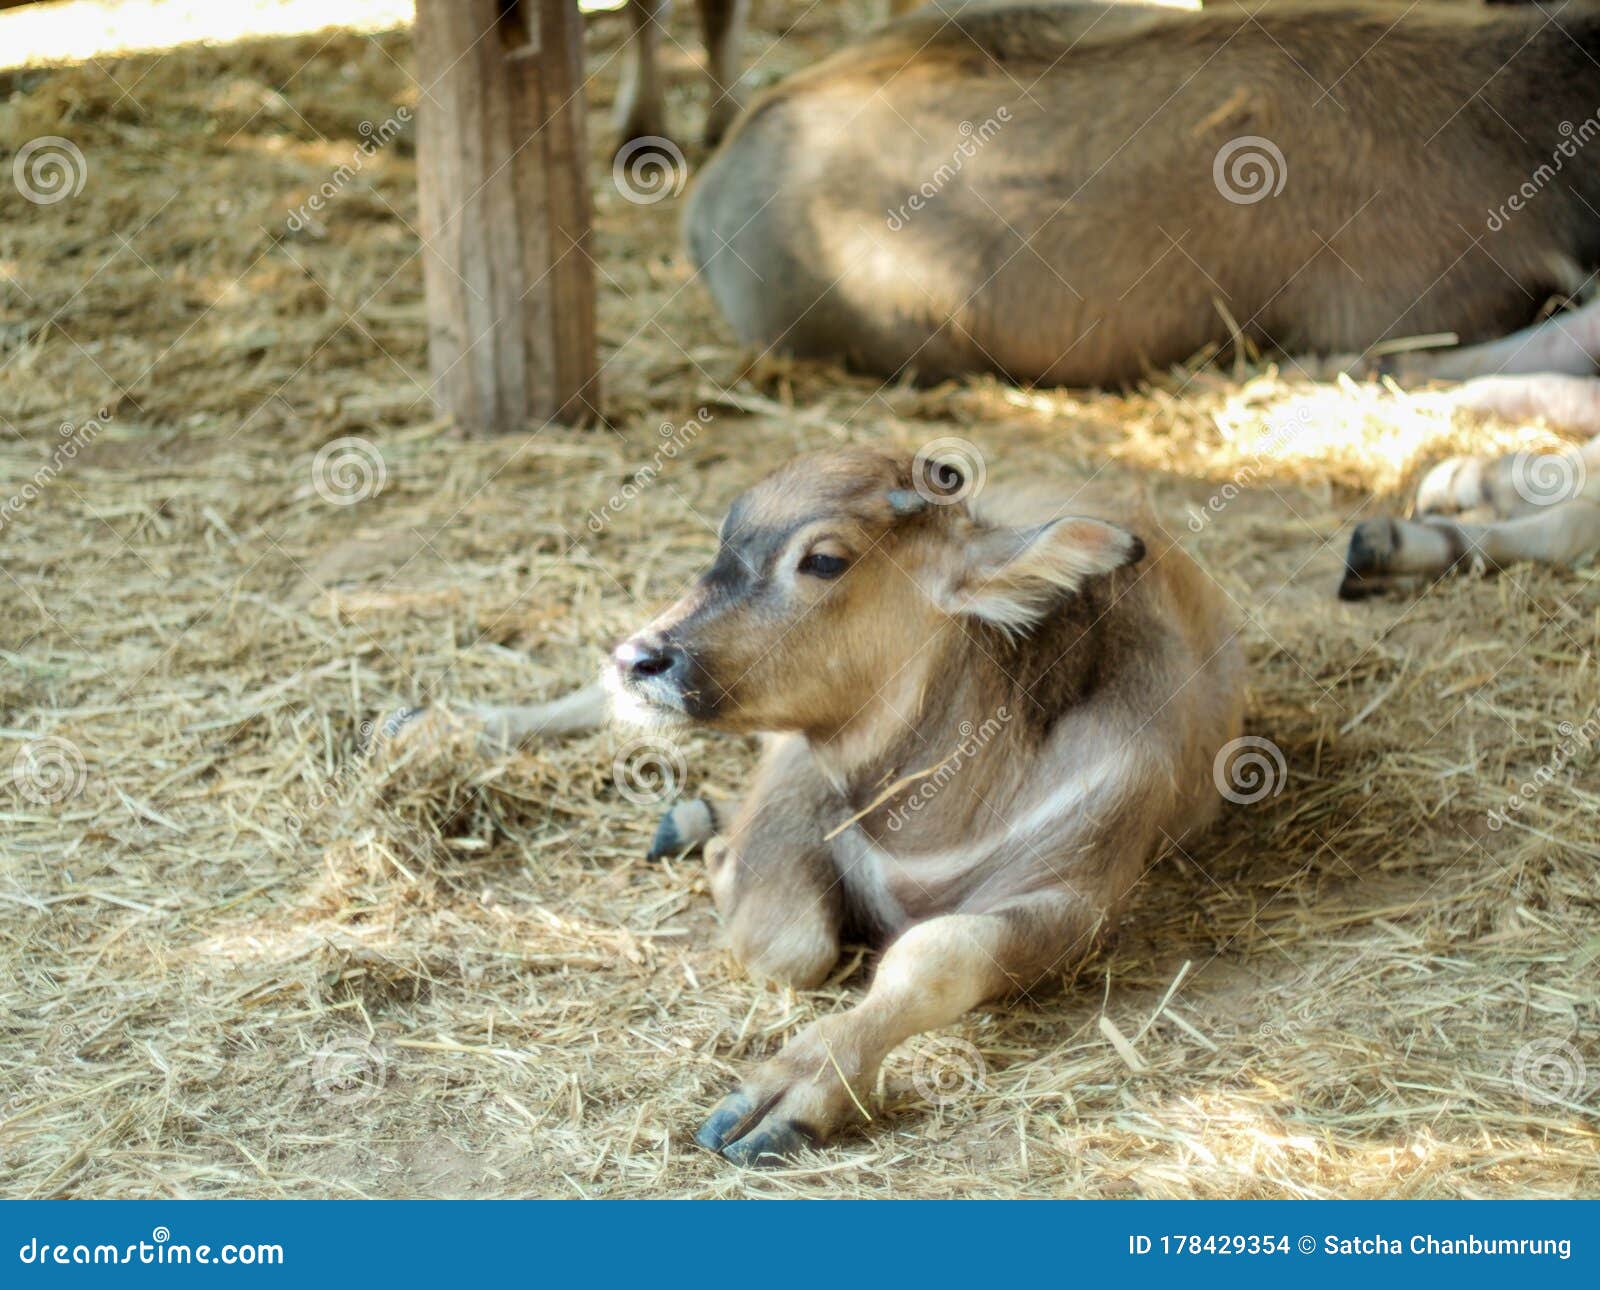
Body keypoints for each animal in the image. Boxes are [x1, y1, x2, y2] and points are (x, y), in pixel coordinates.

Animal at [384, 446, 1245, 1163]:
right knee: (593, 702)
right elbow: (789, 942)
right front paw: (721, 860)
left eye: (825, 559)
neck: (945, 807)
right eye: (726, 537)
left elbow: (936, 955)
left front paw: (796, 1093)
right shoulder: (795, 780)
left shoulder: (1079, 894)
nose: (642, 659)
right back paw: (440, 723)